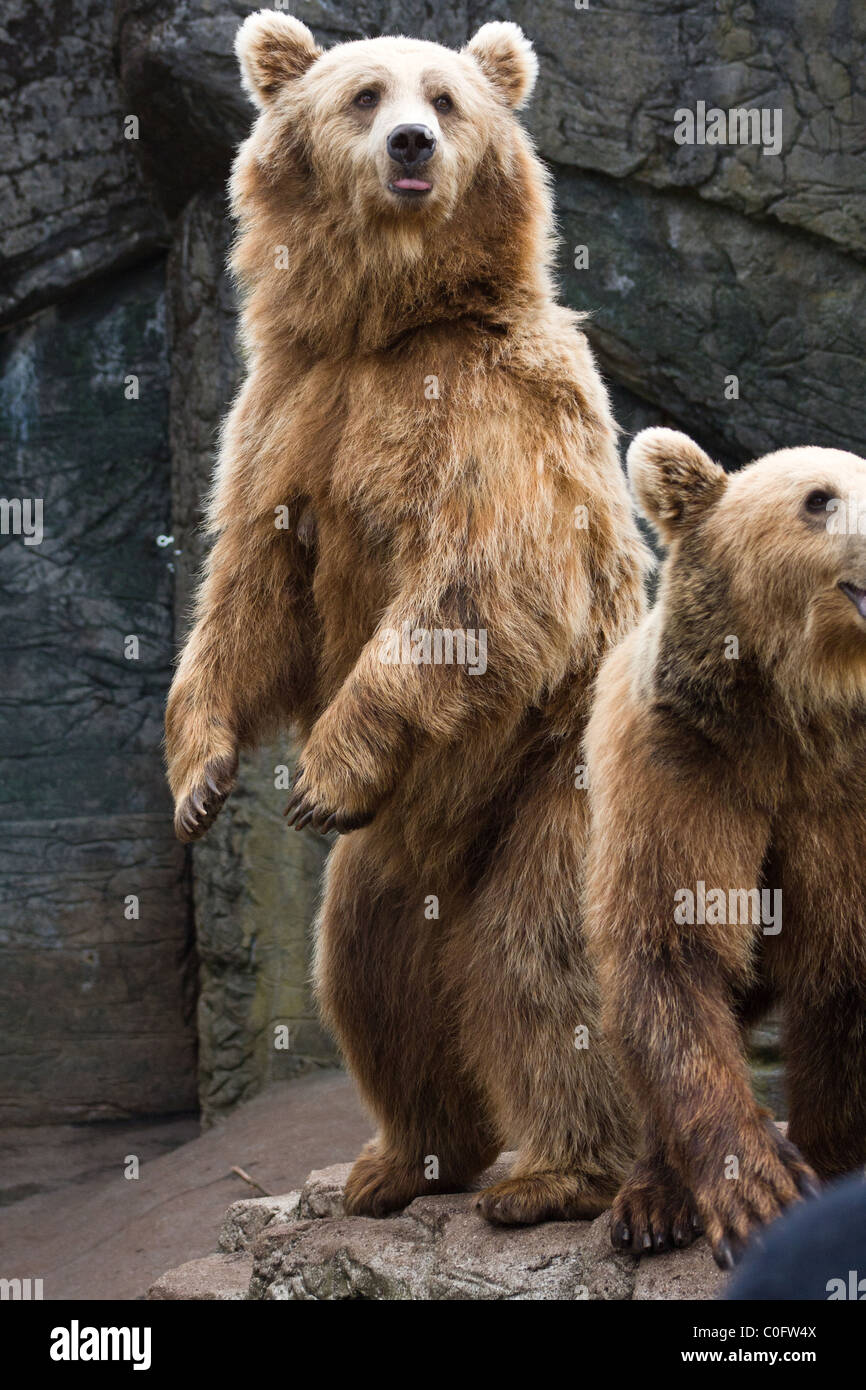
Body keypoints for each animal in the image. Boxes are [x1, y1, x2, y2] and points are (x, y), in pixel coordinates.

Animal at [165, 8, 650, 1224]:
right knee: (367, 972)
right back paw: (395, 1162)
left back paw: (555, 1176)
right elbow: (249, 596)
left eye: (445, 94)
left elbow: (478, 588)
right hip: (388, 863)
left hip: (556, 778)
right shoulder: (289, 409)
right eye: (362, 92)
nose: (412, 146)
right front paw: (198, 776)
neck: (384, 322)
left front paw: (317, 774)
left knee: (542, 963)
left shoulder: (486, 410)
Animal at [585, 425, 866, 1268]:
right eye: (818, 498)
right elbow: (670, 951)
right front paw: (757, 1192)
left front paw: (830, 1164)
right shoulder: (683, 762)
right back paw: (651, 1199)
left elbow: (844, 975)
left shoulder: (843, 789)